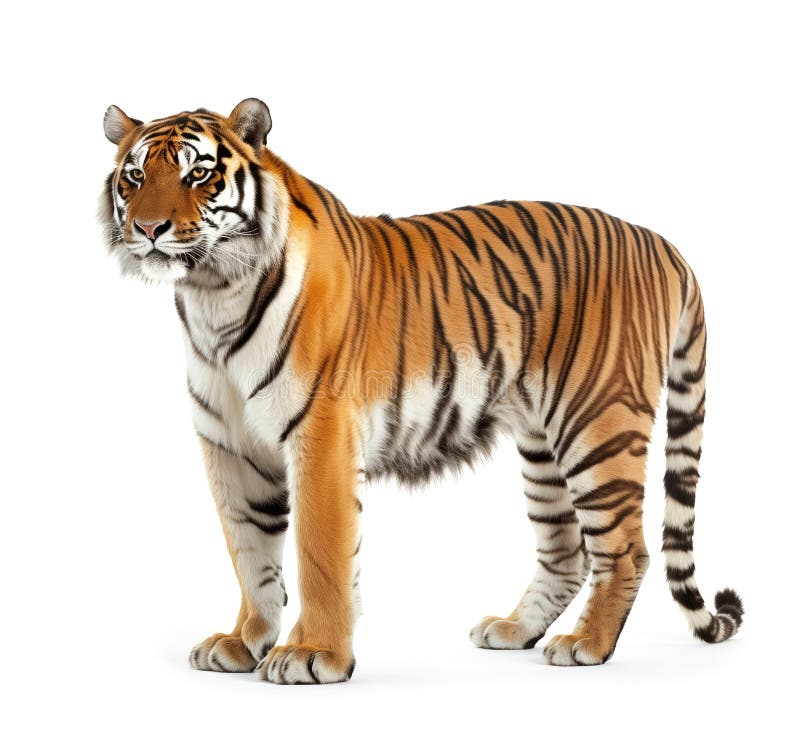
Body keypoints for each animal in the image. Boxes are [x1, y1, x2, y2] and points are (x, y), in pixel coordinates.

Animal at [100, 98, 743, 684]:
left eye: (198, 175)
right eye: (135, 177)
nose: (149, 229)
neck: (214, 295)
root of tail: (662, 243)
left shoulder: (321, 434)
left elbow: (320, 553)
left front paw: (313, 655)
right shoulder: (230, 446)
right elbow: (250, 554)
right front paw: (242, 642)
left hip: (598, 423)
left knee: (626, 547)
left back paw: (585, 643)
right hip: (543, 440)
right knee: (567, 549)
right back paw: (514, 630)